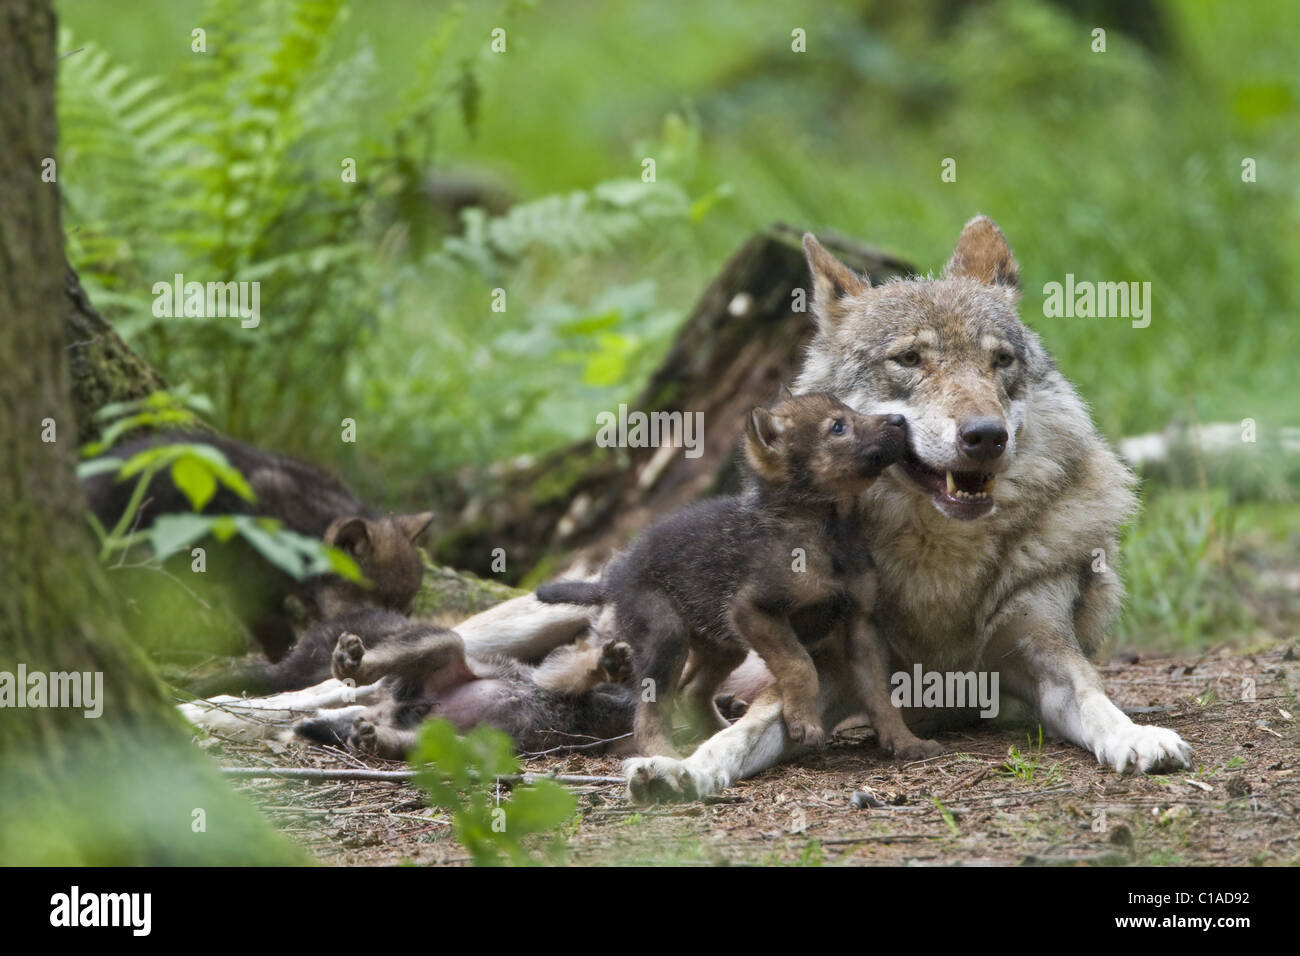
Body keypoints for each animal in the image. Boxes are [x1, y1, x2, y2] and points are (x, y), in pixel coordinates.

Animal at [537, 391, 939, 763]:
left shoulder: (860, 625)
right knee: (649, 709)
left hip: (722, 643)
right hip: (667, 633)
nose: (900, 420)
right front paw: (805, 724)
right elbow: (801, 667)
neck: (829, 531)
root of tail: (615, 573)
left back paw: (717, 736)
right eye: (838, 427)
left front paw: (905, 742)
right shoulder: (754, 610)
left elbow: (881, 695)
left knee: (690, 692)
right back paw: (664, 755)